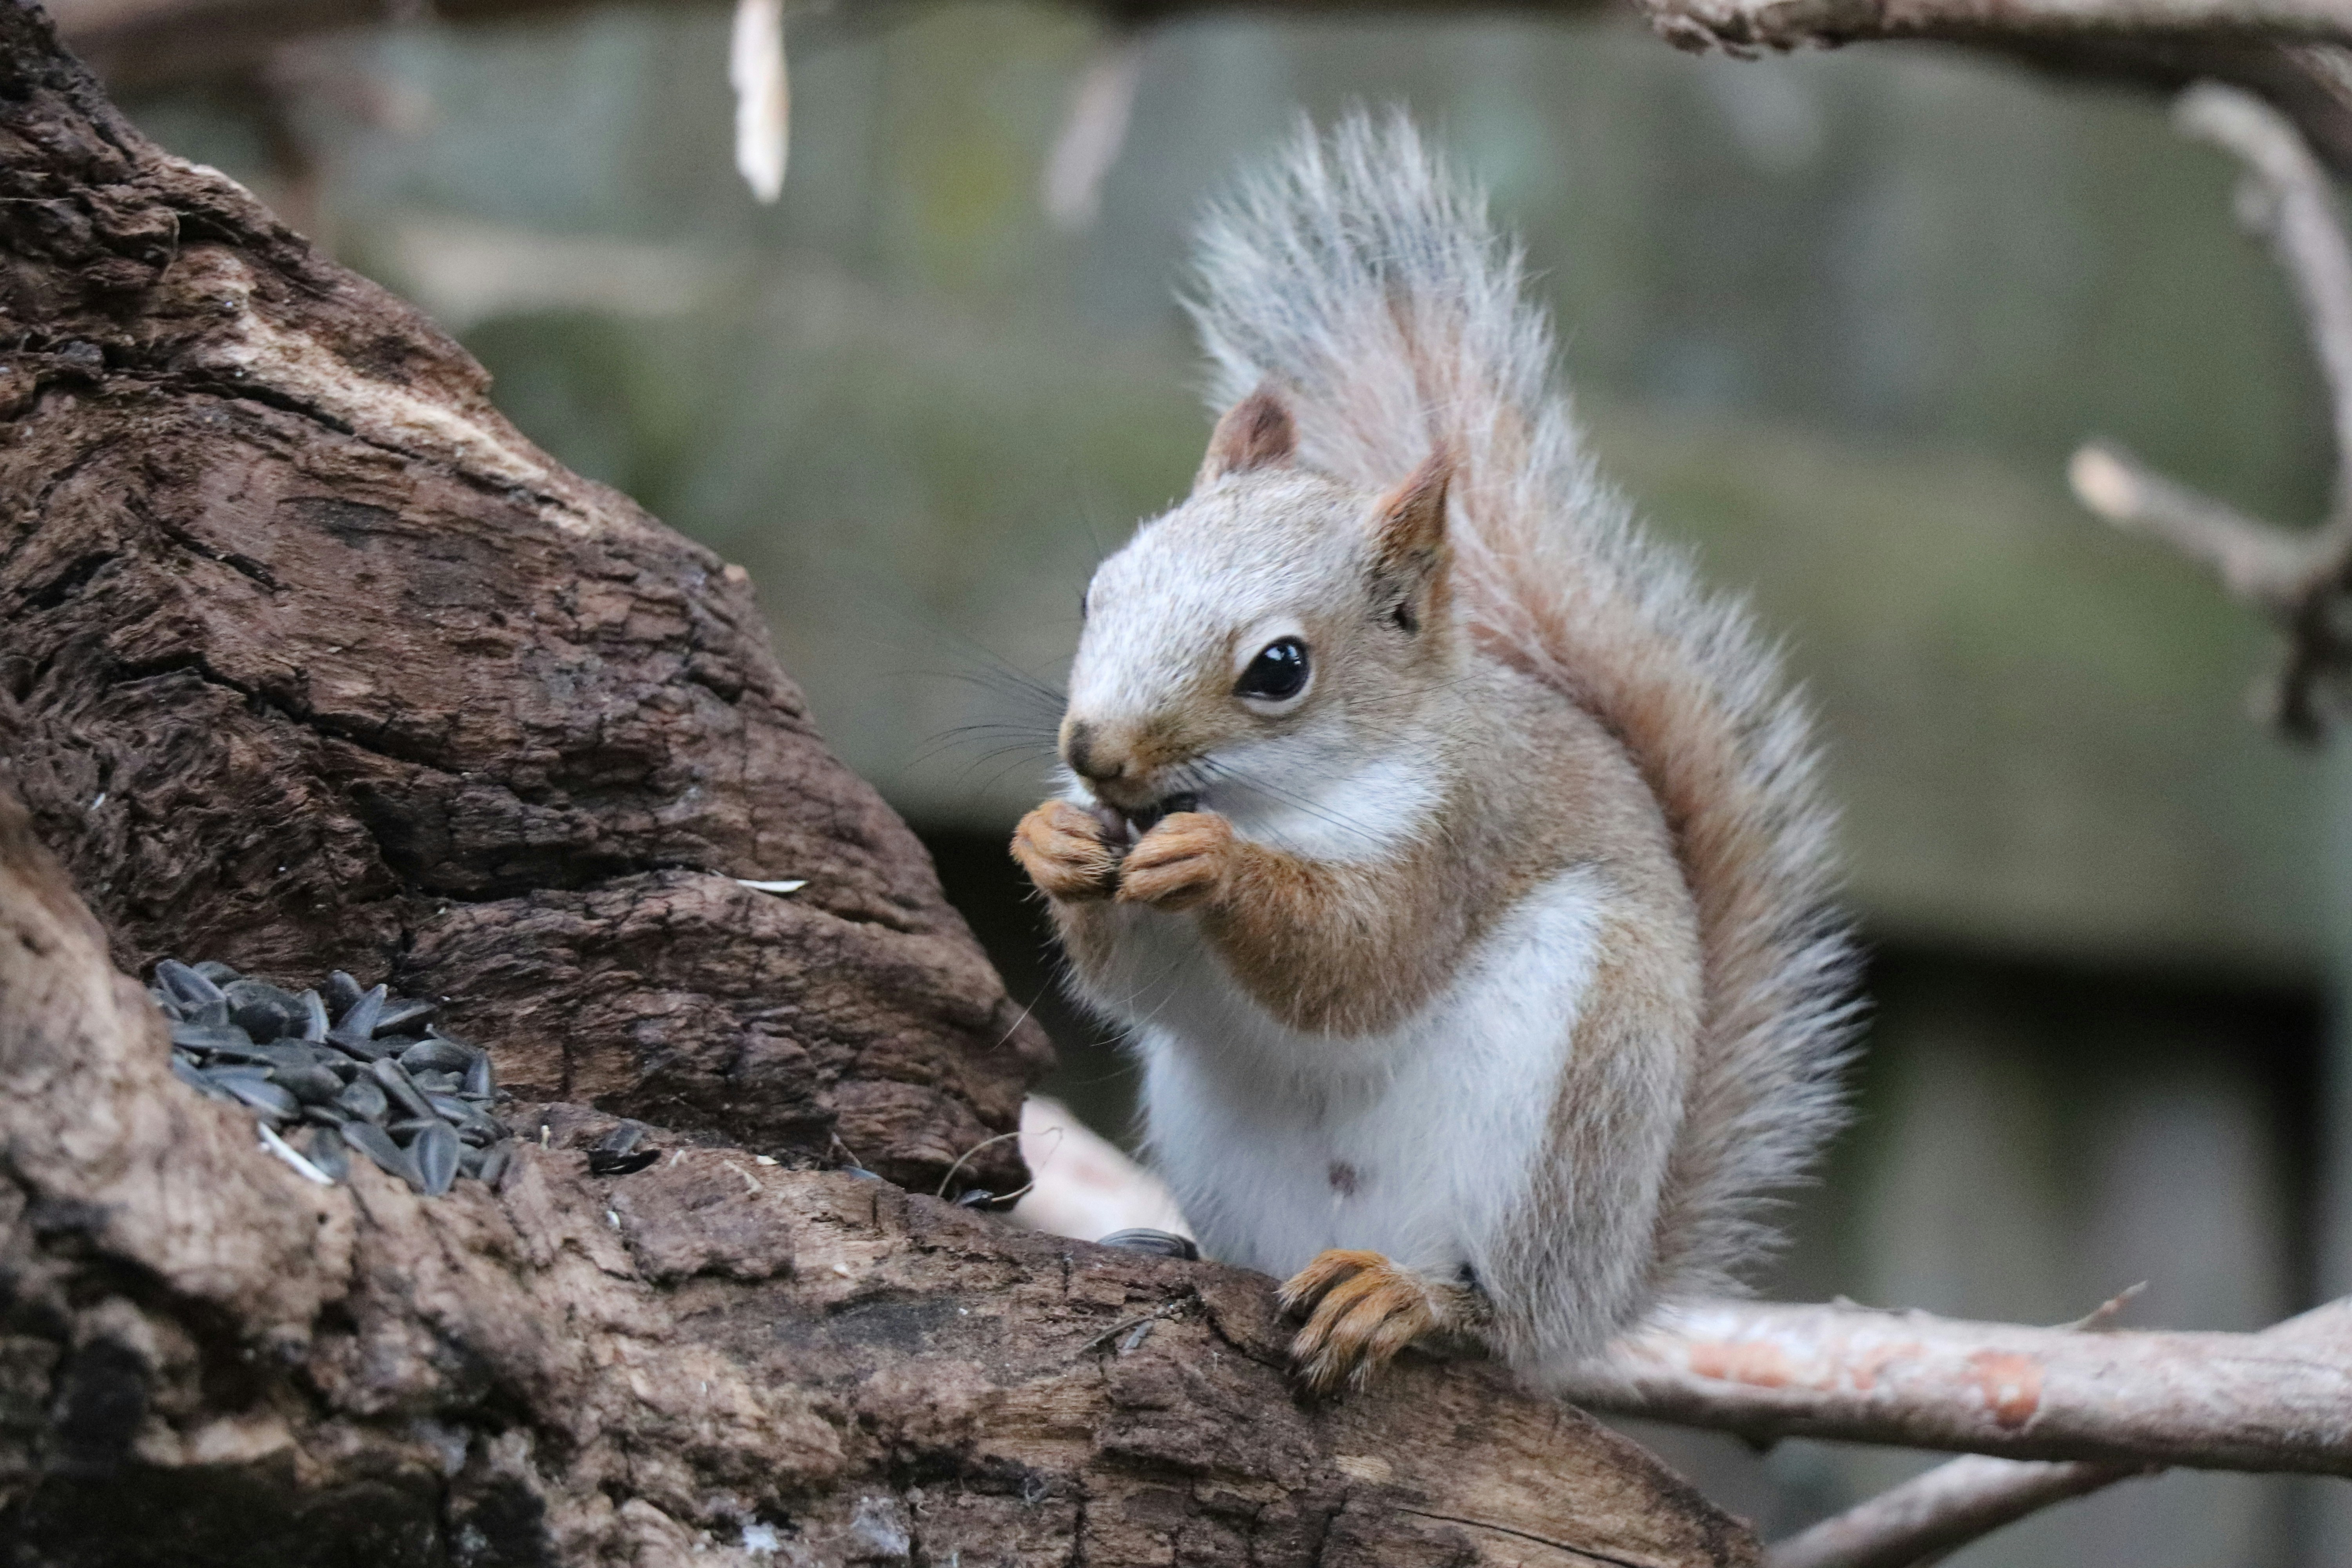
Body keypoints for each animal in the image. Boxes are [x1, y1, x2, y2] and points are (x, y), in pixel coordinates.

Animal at [1011, 112, 1856, 1395]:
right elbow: (1136, 982)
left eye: (1279, 667)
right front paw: (1050, 837)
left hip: (1566, 1119)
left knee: (1493, 1317)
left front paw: (1216, 865)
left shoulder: (1458, 831)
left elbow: (1364, 959)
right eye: (1094, 592)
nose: (1093, 751)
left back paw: (1407, 1299)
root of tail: (1604, 1296)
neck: (1283, 798)